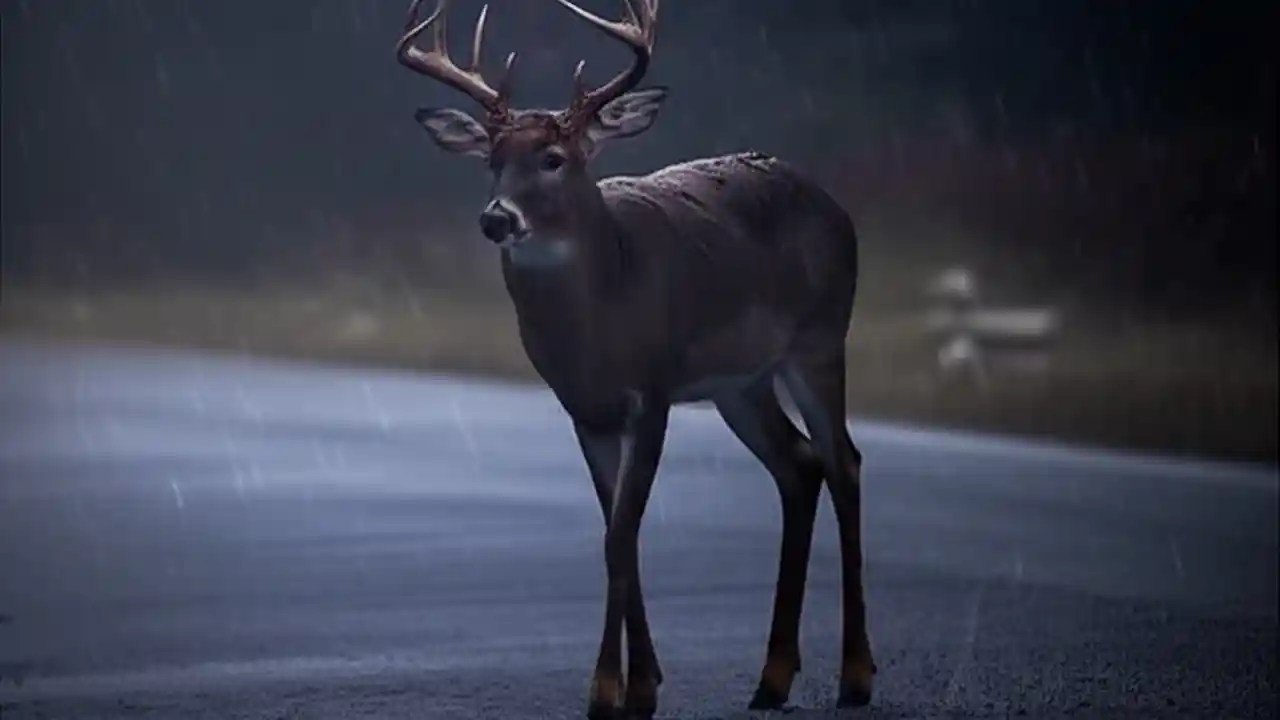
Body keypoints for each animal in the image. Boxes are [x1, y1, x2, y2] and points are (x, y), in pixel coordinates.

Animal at [396, 1, 875, 716]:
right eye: (492, 159)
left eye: (554, 157)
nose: (496, 218)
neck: (599, 326)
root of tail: (835, 206)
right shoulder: (585, 410)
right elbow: (613, 532)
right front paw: (637, 685)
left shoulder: (651, 393)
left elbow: (621, 533)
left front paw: (613, 691)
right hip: (740, 383)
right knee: (799, 465)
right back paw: (771, 678)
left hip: (820, 338)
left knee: (843, 461)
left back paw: (856, 677)